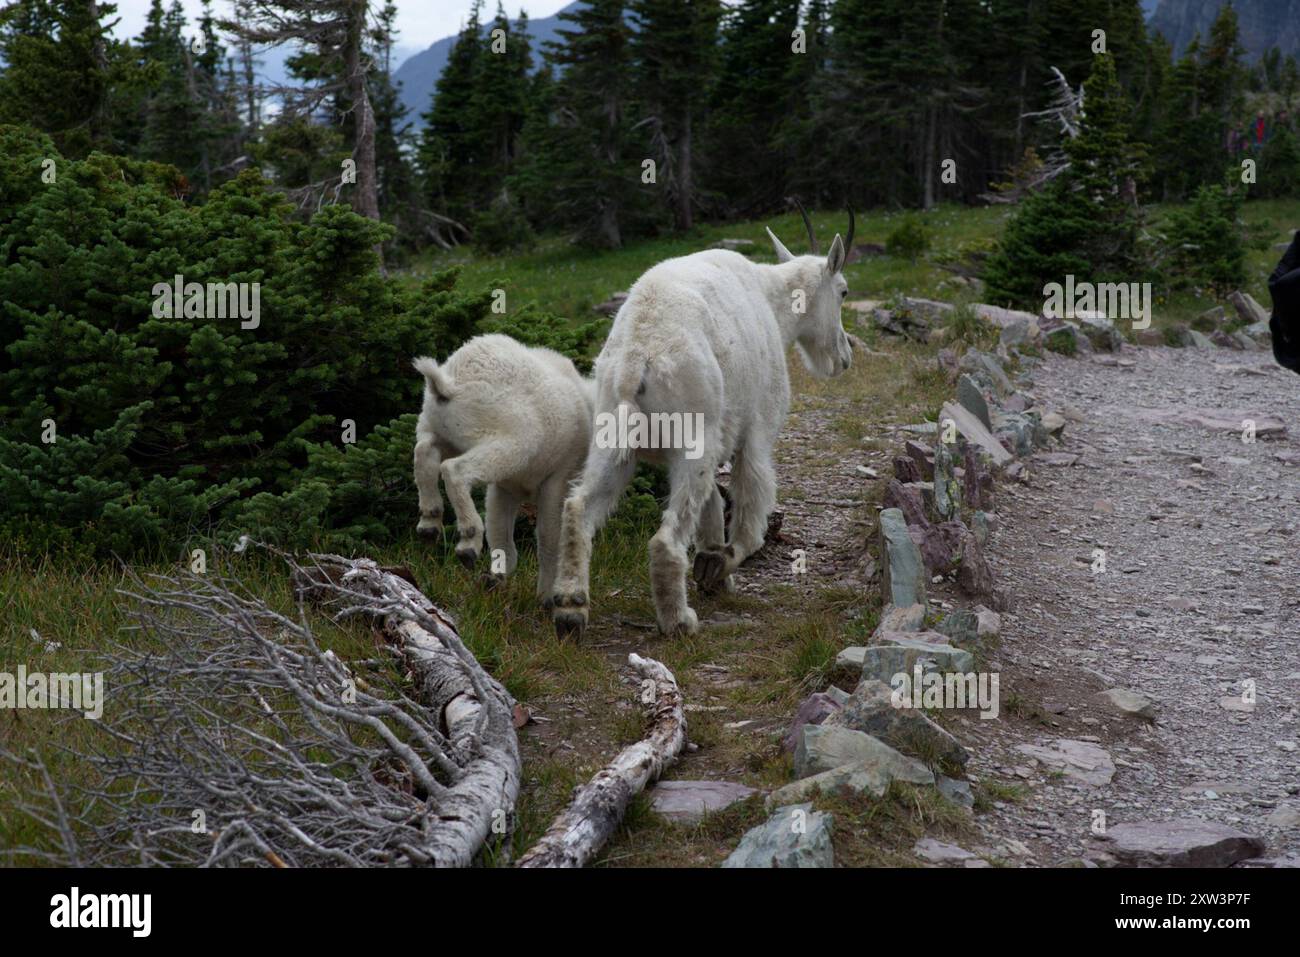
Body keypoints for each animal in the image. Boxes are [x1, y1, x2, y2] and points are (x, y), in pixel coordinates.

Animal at [412, 334, 596, 601]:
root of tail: (449, 384)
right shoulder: (559, 476)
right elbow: (548, 536)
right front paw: (547, 597)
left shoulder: (505, 488)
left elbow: (501, 534)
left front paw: (494, 580)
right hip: (510, 439)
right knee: (454, 469)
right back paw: (468, 541)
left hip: (436, 426)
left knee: (424, 452)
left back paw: (429, 522)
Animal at [550, 203, 855, 639]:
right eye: (843, 291)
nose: (844, 356)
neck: (772, 303)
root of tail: (635, 360)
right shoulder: (755, 433)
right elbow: (750, 509)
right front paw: (720, 565)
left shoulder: (718, 442)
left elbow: (712, 506)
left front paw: (713, 568)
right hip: (690, 439)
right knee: (665, 539)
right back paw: (678, 620)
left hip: (611, 438)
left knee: (578, 507)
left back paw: (571, 609)